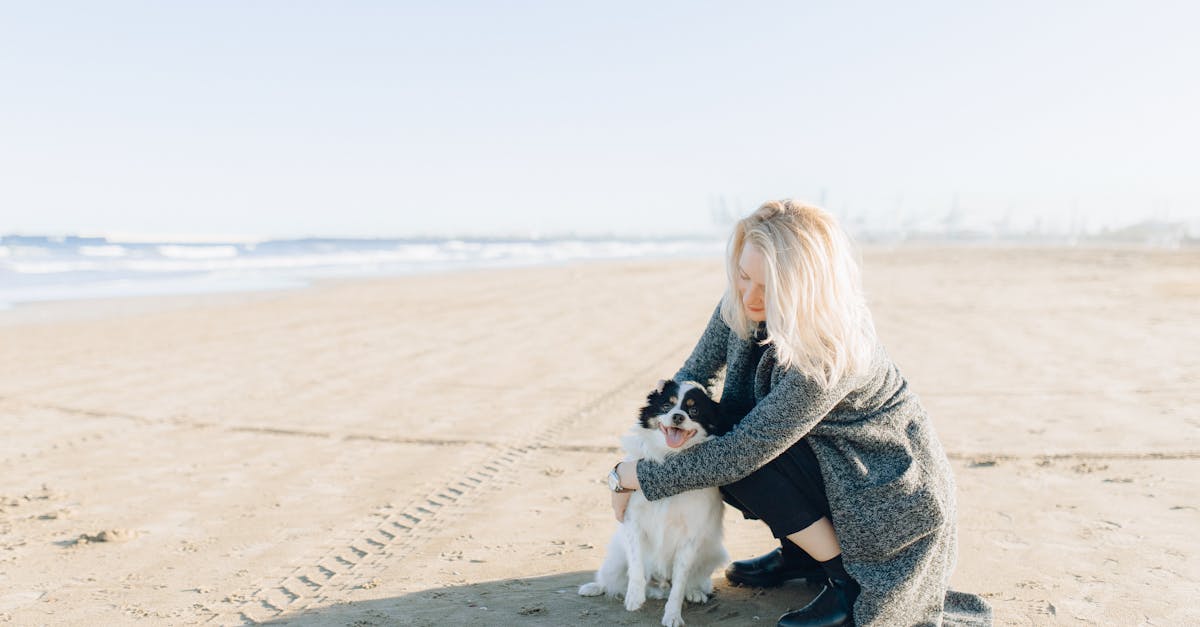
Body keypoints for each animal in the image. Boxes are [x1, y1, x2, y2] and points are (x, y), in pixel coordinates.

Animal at [580, 377, 729, 619]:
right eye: (667, 406)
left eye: (694, 410)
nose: (678, 416)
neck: (668, 455)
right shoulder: (633, 523)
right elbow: (636, 565)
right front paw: (634, 597)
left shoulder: (690, 536)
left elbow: (679, 582)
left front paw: (673, 615)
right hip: (615, 559)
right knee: (612, 579)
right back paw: (595, 587)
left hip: (711, 554)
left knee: (688, 582)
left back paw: (694, 592)